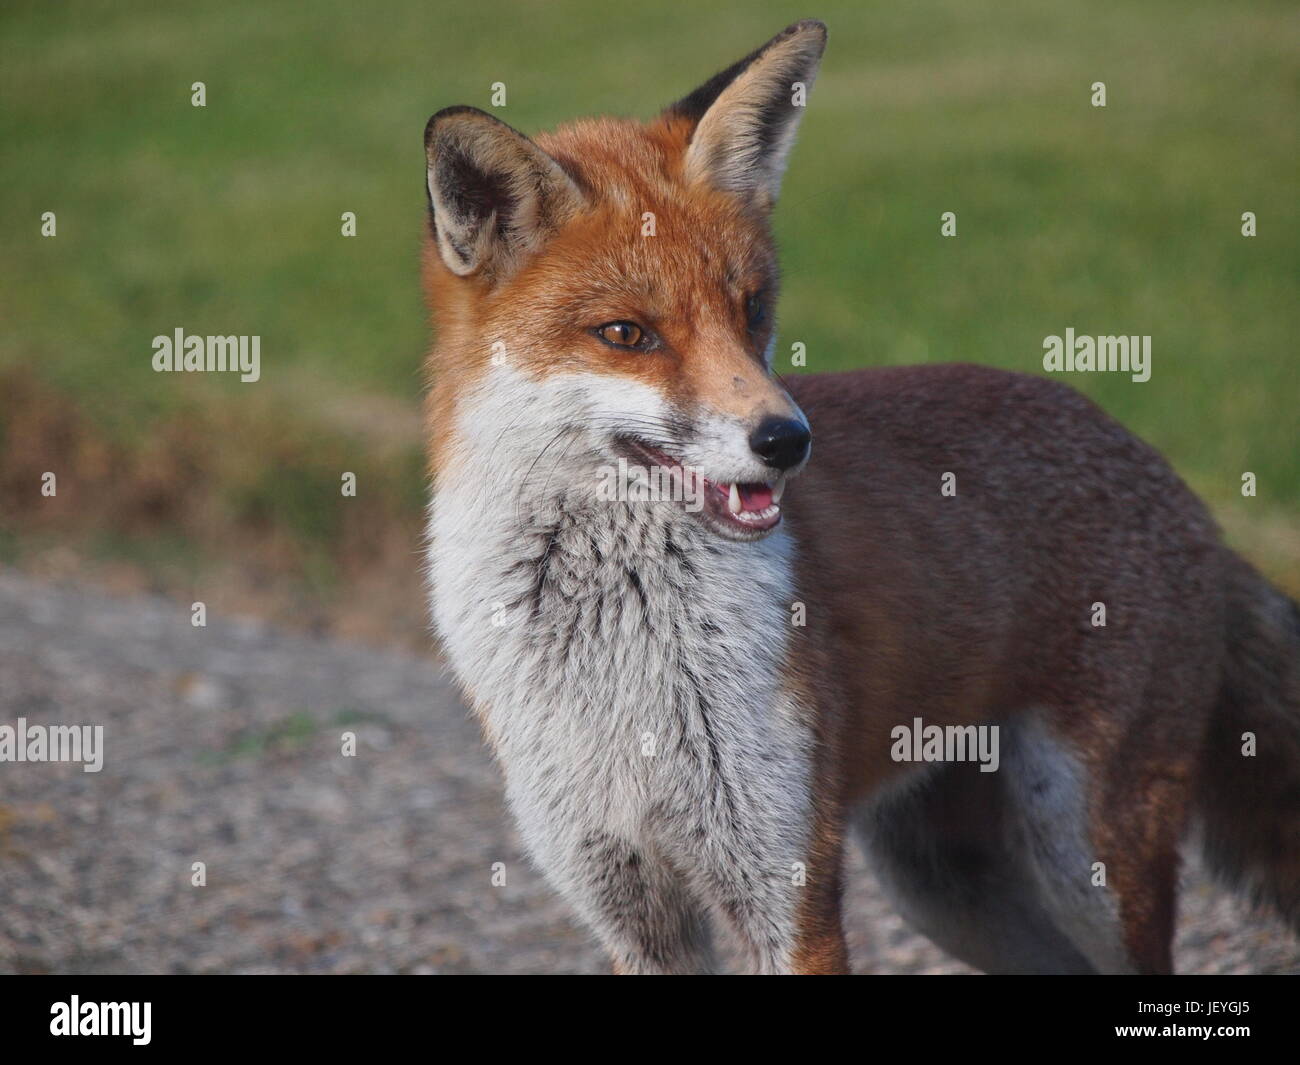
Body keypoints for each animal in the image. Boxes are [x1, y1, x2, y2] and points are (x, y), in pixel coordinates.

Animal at [421, 20, 1300, 973]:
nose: (786, 440)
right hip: (942, 886)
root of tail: (1181, 484)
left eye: (753, 310)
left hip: (1082, 860)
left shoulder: (785, 882)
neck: (619, 647)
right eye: (627, 333)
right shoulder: (628, 901)